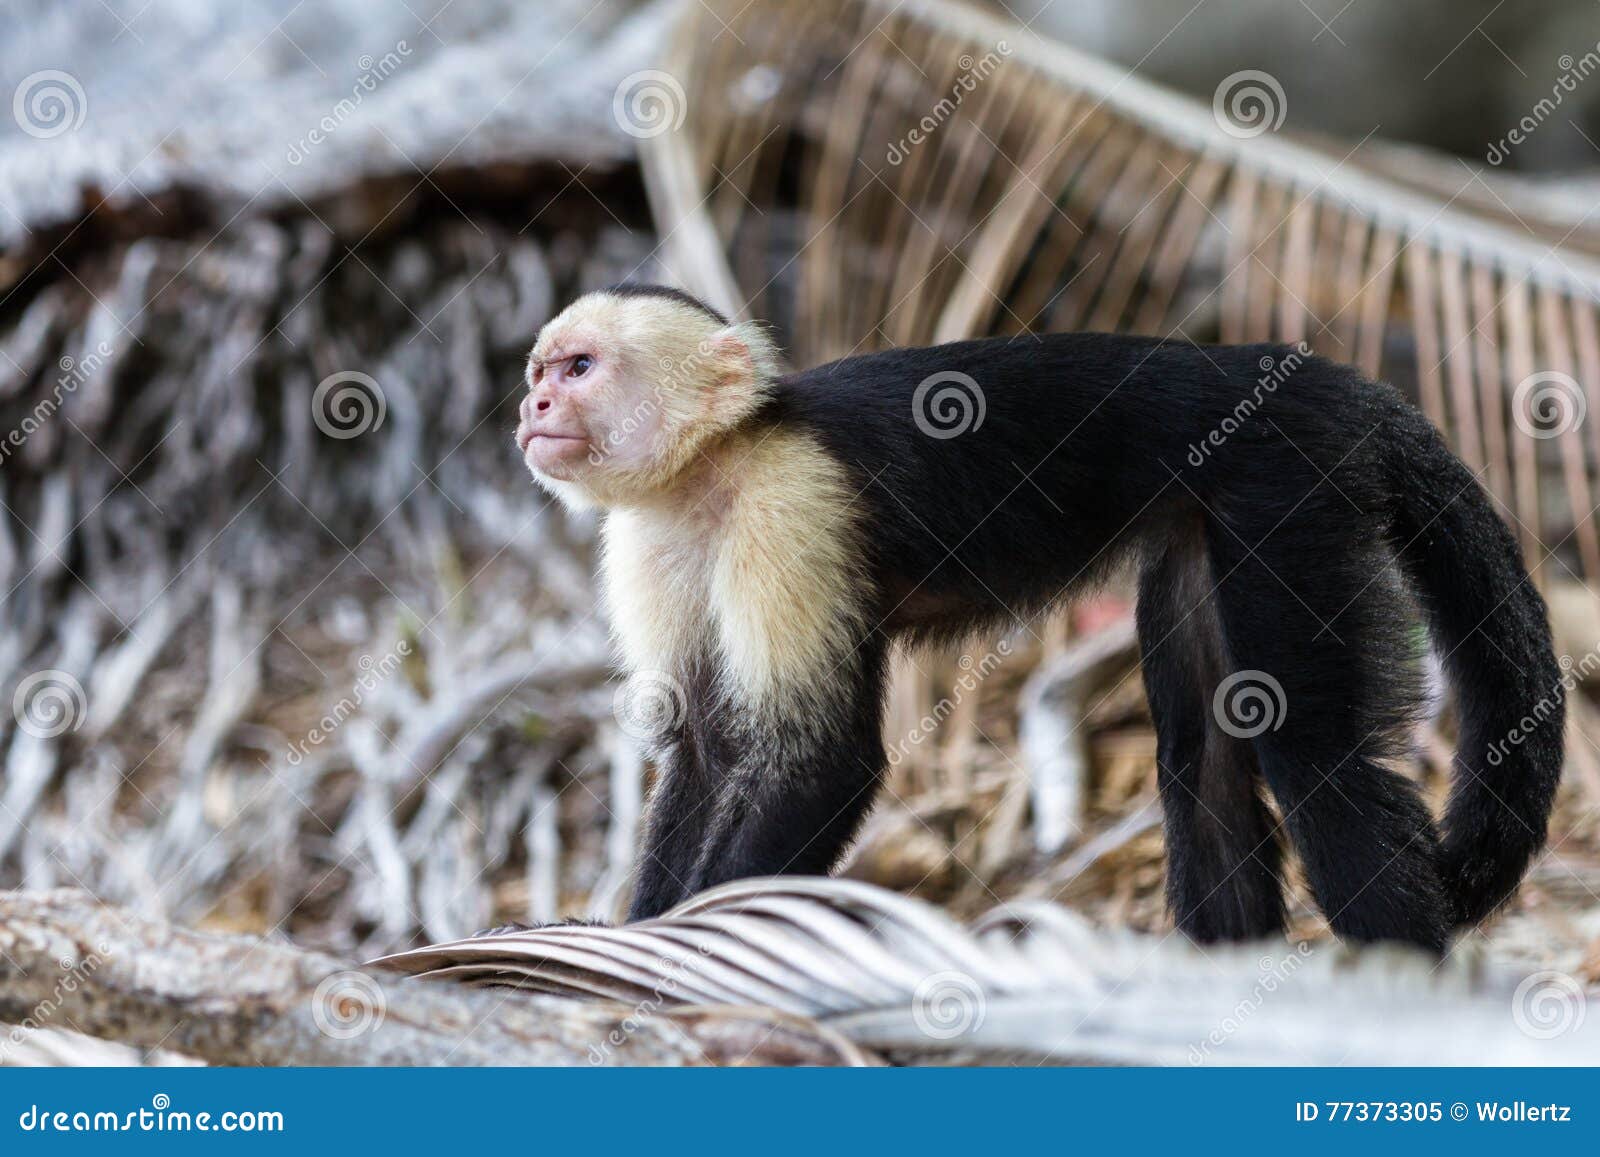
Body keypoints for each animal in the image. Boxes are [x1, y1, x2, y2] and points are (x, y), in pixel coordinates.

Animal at [514, 283, 1563, 953]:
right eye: (540, 370)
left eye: (580, 366)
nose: (531, 407)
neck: (714, 466)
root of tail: (1319, 378)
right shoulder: (648, 540)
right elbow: (701, 750)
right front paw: (632, 937)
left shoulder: (791, 501)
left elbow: (818, 758)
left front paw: (677, 947)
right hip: (1209, 513)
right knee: (1204, 754)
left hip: (1289, 481)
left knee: (1315, 755)